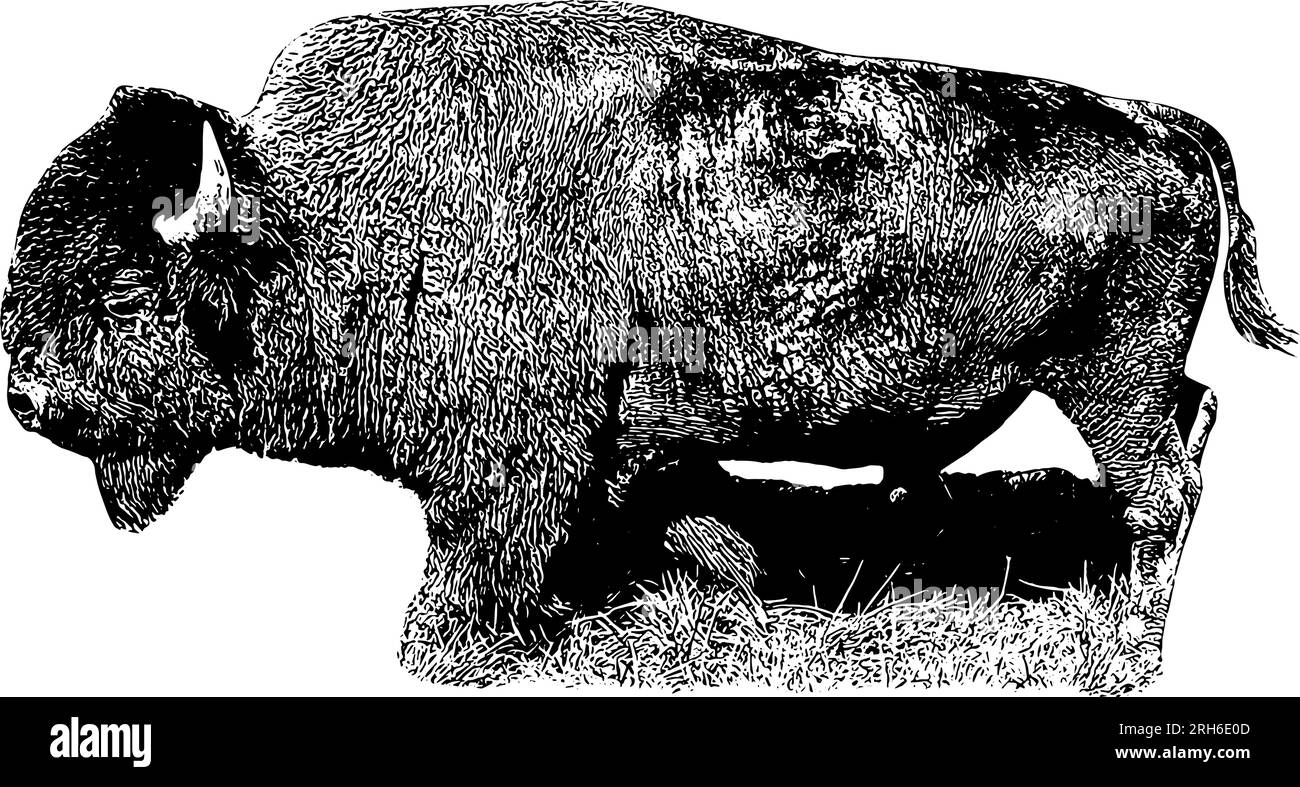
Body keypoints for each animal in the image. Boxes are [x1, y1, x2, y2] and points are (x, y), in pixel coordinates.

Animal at [3, 2, 1293, 679]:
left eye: (126, 295)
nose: (25, 391)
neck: (317, 223)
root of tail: (1165, 119)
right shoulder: (632, 443)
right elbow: (673, 513)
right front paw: (722, 587)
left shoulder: (515, 456)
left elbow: (481, 555)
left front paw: (442, 652)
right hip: (1130, 378)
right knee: (1197, 423)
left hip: (1101, 377)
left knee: (1157, 489)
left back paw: (1127, 635)